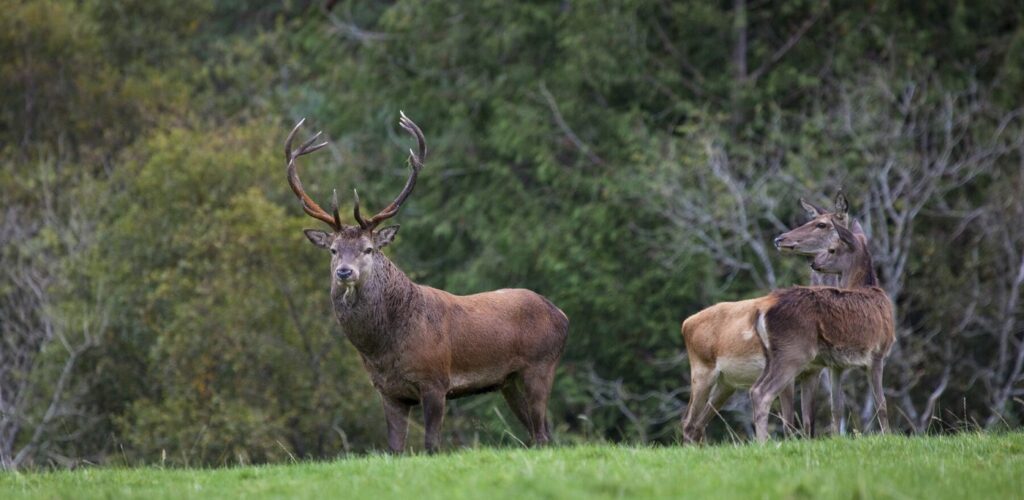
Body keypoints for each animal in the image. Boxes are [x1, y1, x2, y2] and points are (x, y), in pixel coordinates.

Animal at [283, 113, 569, 453]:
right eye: (333, 250)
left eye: (368, 248)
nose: (344, 272)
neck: (383, 349)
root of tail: (562, 315)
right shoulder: (388, 391)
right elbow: (394, 448)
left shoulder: (435, 381)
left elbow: (432, 445)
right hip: (509, 380)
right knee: (540, 435)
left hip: (540, 365)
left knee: (541, 434)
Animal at [680, 193, 861, 443]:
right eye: (812, 219)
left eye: (822, 224)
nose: (780, 239)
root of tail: (686, 323)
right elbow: (789, 423)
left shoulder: (813, 370)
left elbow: (808, 423)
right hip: (701, 370)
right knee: (688, 422)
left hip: (726, 382)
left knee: (698, 424)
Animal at [750, 221, 894, 443]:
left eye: (832, 249)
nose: (814, 264)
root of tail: (761, 311)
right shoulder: (878, 353)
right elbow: (882, 404)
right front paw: (888, 436)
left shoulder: (836, 366)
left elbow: (837, 407)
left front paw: (836, 438)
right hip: (794, 351)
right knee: (762, 393)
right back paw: (763, 443)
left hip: (770, 356)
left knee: (754, 389)